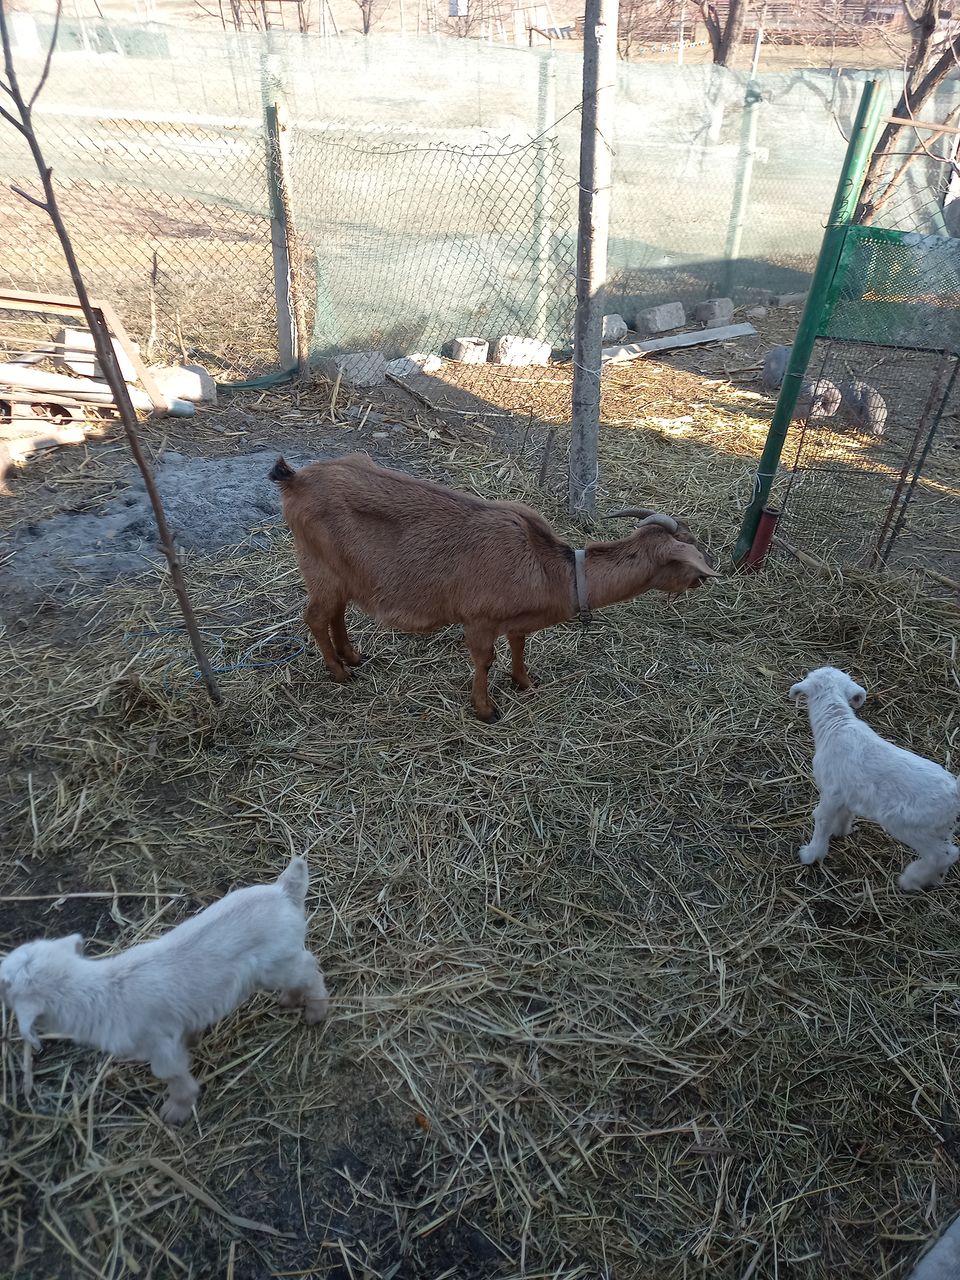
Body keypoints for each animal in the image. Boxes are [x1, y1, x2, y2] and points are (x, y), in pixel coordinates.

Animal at [0, 857, 328, 1124]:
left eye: (5, 984)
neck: (101, 991)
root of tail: (283, 891)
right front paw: (194, 1040)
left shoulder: (158, 1043)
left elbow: (171, 1075)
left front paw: (176, 1110)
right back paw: (290, 1000)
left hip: (276, 963)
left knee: (309, 968)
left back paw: (315, 1010)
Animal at [269, 453, 718, 722]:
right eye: (689, 553)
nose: (704, 575)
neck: (552, 568)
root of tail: (295, 480)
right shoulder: (478, 619)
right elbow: (485, 661)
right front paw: (486, 709)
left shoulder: (516, 620)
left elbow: (520, 645)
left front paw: (525, 682)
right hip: (320, 567)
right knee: (315, 615)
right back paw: (338, 671)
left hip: (343, 573)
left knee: (336, 613)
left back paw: (353, 656)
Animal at [790, 666, 959, 891]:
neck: (835, 724)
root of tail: (956, 793)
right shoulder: (847, 793)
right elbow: (845, 814)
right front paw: (840, 831)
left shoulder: (831, 792)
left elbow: (821, 819)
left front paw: (810, 854)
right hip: (942, 830)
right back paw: (933, 879)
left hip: (913, 826)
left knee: (944, 855)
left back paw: (911, 879)